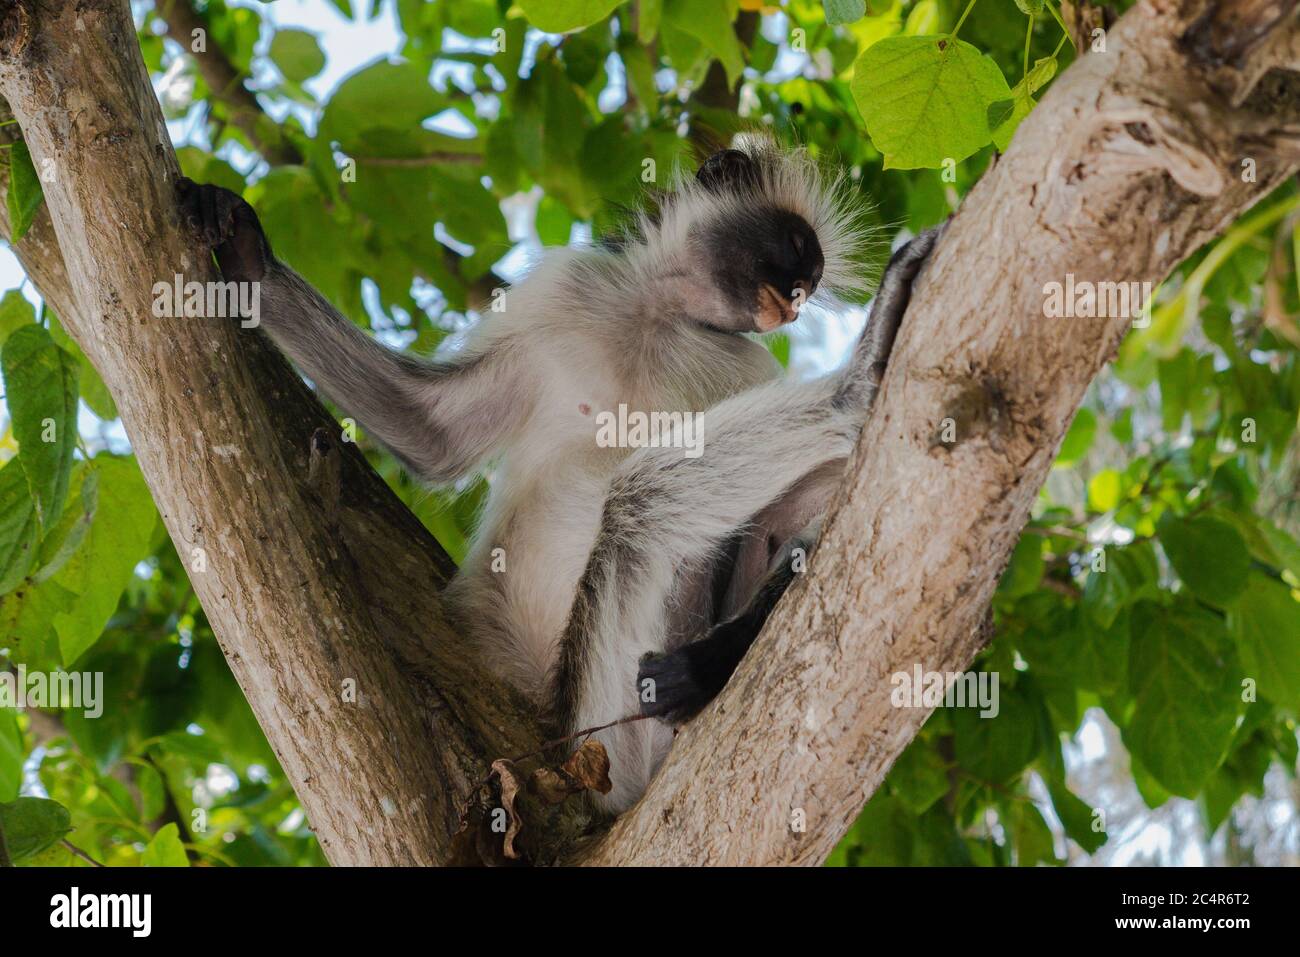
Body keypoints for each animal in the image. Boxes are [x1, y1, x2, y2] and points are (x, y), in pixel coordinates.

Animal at [178, 136, 941, 815]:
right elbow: (433, 432)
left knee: (645, 507)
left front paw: (710, 662)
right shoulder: (564, 290)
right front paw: (249, 258)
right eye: (791, 249)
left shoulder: (746, 365)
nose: (796, 296)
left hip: (604, 735)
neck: (658, 318)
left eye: (807, 278)